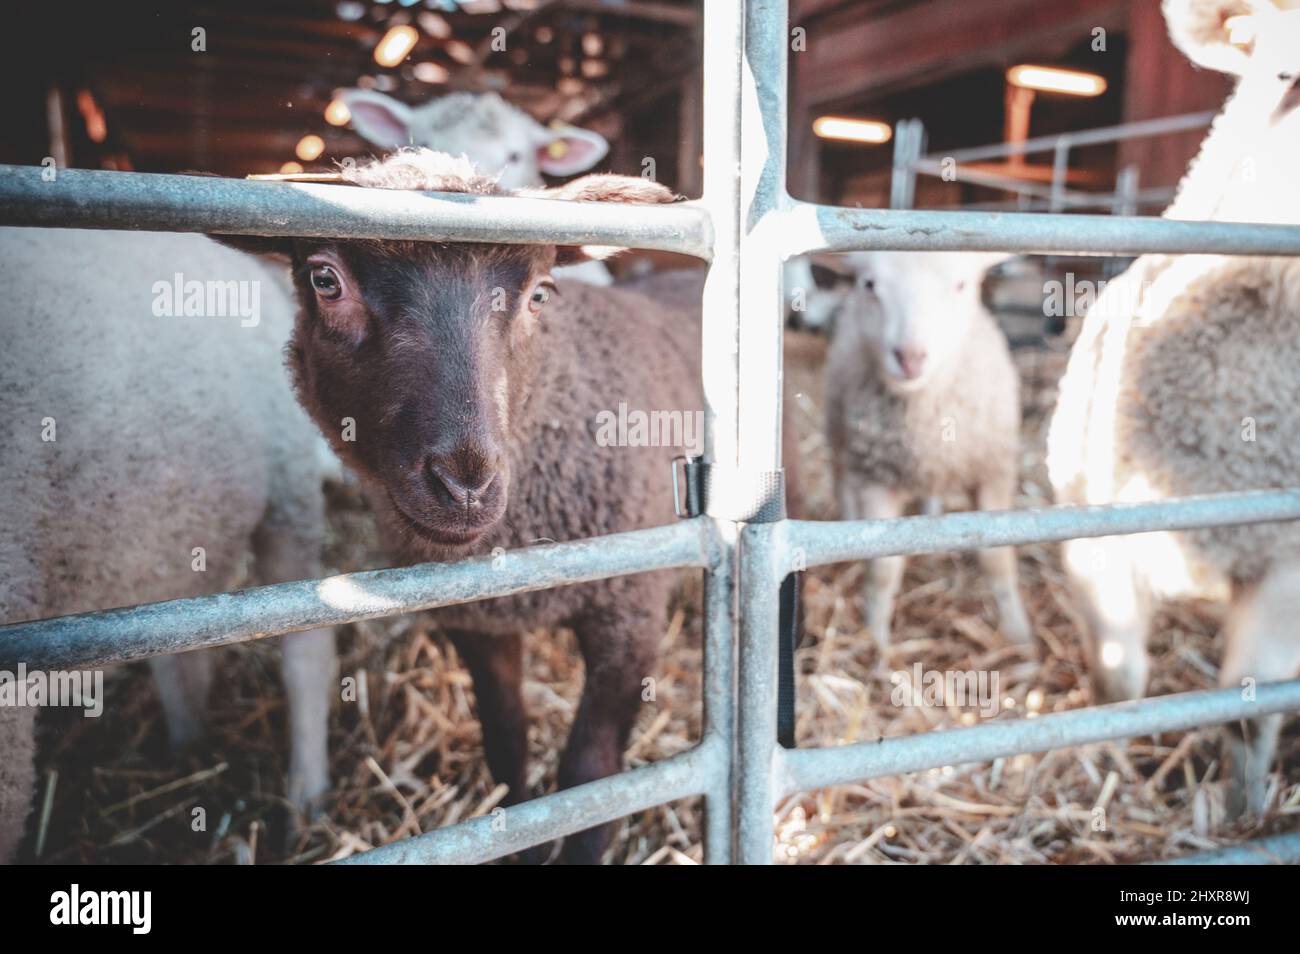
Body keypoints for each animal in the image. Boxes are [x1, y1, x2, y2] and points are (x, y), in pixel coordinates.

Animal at [211, 149, 711, 864]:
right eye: (325, 280)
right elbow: (506, 745)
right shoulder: (480, 622)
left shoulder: (630, 608)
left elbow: (591, 774)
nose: (466, 484)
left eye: (540, 293)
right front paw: (521, 835)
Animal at [826, 251, 1032, 650]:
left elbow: (998, 558)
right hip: (840, 437)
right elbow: (882, 569)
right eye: (870, 284)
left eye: (960, 284)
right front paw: (877, 644)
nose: (911, 357)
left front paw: (1020, 635)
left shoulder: (993, 472)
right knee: (841, 483)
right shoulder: (875, 480)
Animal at [1045, 0, 1300, 814]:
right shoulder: (1098, 538)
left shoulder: (1285, 568)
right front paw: (1105, 770)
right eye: (1282, 74)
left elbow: (1249, 706)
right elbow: (1119, 679)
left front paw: (1245, 813)